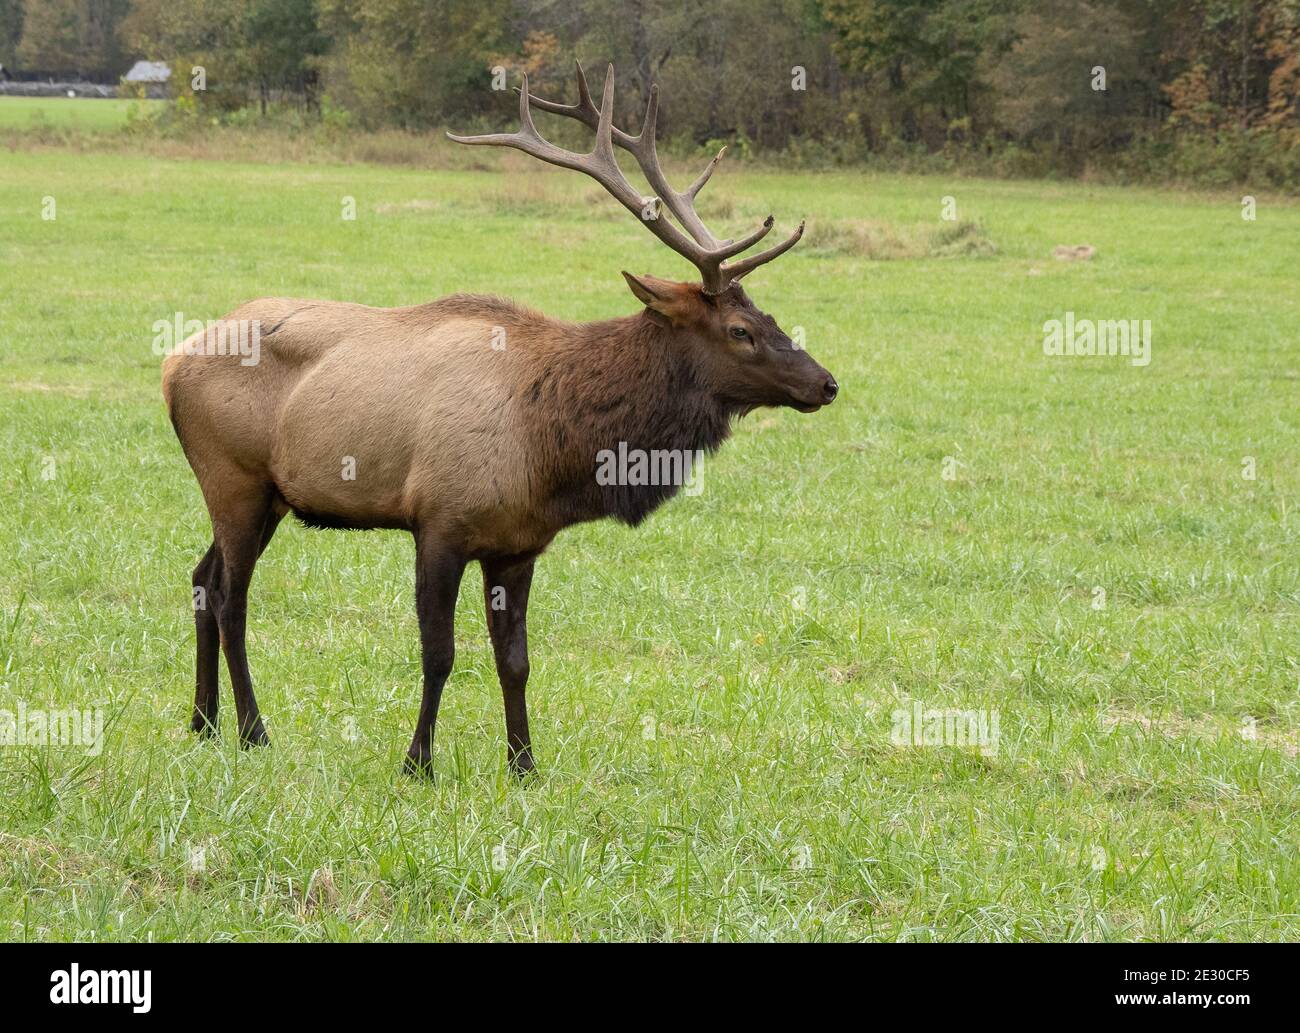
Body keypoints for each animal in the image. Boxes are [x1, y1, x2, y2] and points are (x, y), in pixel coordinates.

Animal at [161, 63, 838, 778]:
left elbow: (515, 661)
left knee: (203, 579)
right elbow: (440, 654)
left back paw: (202, 722)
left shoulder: (518, 544)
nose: (825, 383)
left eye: (767, 316)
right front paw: (419, 764)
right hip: (233, 477)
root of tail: (171, 363)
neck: (555, 448)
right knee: (231, 598)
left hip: (270, 495)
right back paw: (252, 730)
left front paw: (524, 766)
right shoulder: (438, 521)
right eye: (741, 330)